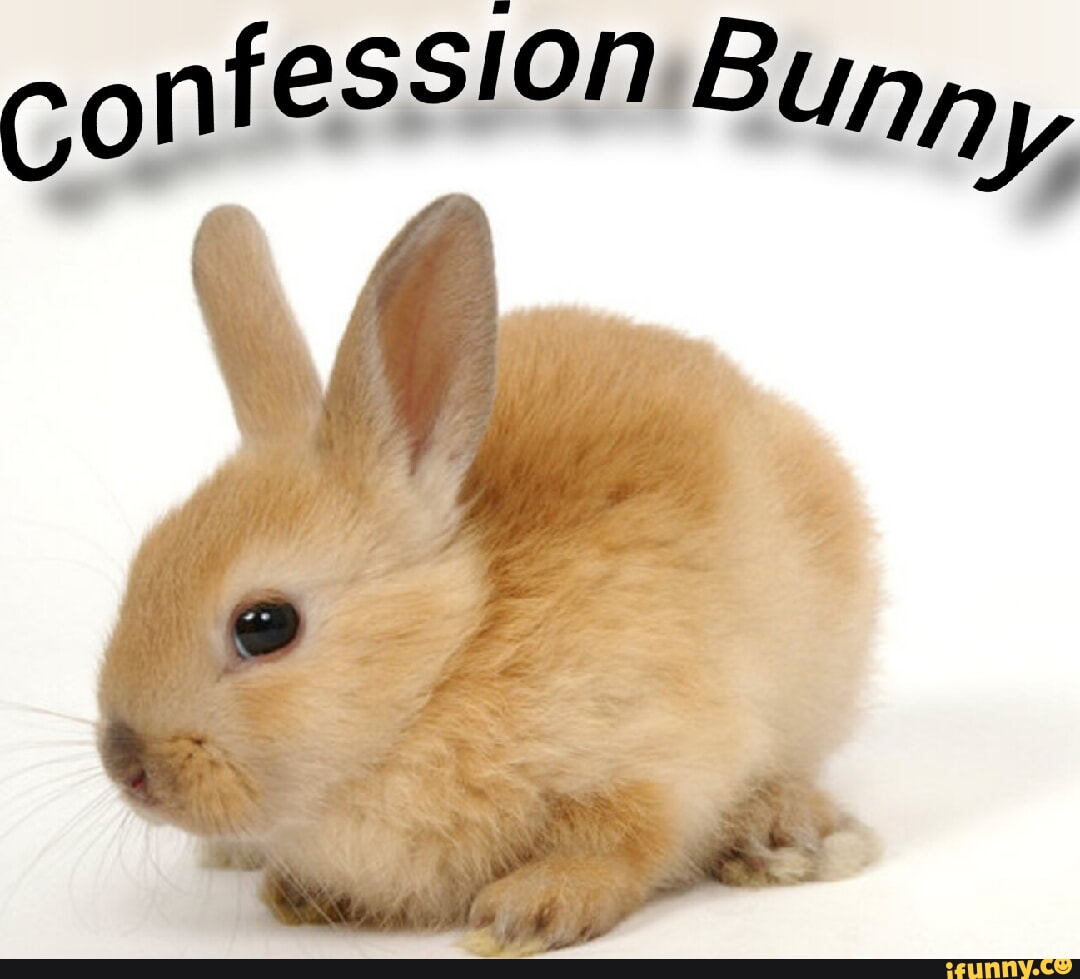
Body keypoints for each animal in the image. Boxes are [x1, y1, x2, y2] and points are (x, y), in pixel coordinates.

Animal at [96, 194, 881, 956]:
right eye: (143, 566)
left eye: (264, 626)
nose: (125, 765)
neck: (448, 660)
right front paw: (296, 890)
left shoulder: (659, 742)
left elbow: (620, 836)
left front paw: (527, 912)